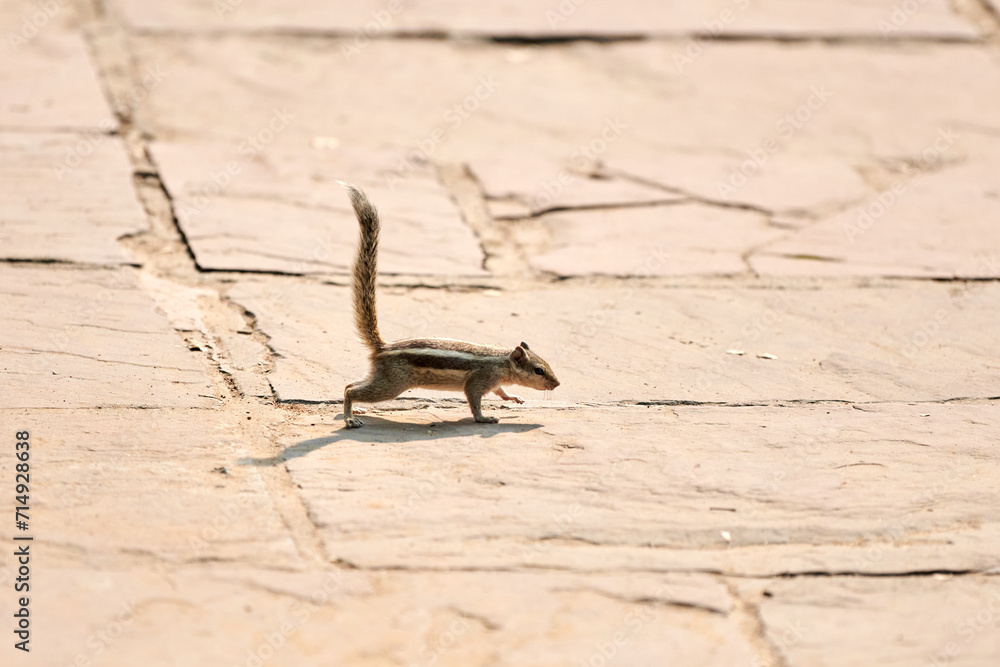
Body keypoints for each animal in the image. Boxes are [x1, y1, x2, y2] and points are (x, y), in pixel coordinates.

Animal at [341, 184, 560, 428]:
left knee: (349, 384)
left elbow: (501, 392)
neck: (501, 362)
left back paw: (356, 410)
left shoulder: (494, 383)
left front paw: (515, 397)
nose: (557, 384)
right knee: (351, 391)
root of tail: (383, 347)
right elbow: (474, 400)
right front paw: (484, 418)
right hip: (391, 385)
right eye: (539, 370)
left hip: (380, 378)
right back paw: (350, 418)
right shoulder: (479, 380)